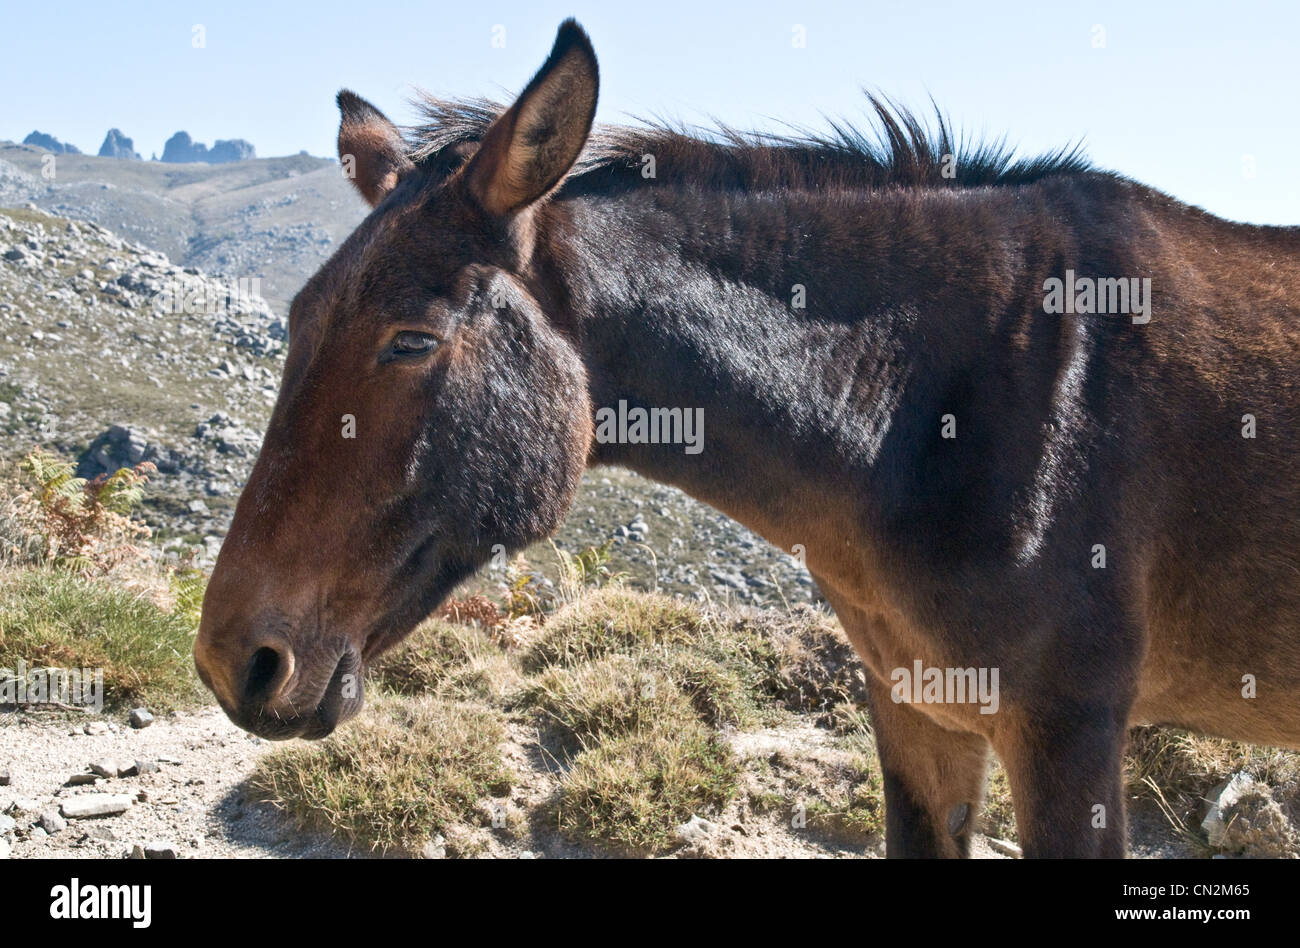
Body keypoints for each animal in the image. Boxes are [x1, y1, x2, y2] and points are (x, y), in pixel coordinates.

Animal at [194, 19, 1300, 857]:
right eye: (296, 317)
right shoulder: (918, 712)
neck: (931, 411)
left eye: (410, 341)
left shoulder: (1068, 735)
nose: (233, 661)